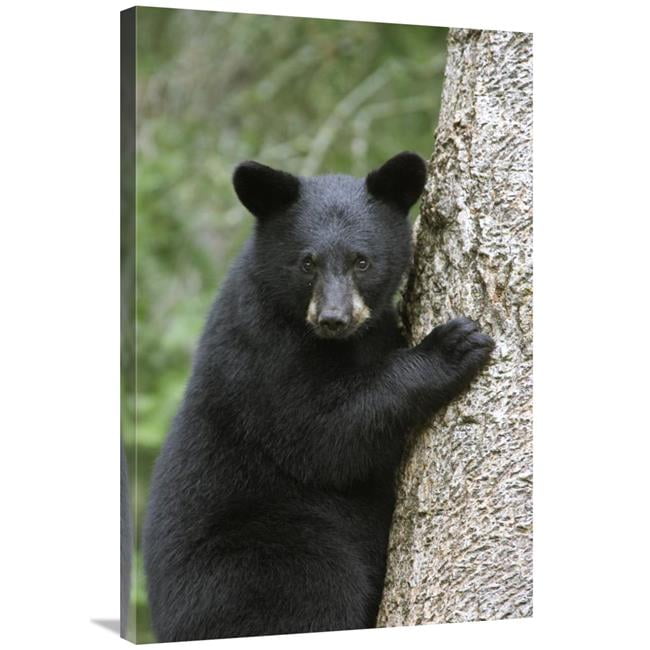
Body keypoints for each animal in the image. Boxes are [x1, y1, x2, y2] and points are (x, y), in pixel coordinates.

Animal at [143, 151, 494, 642]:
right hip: (267, 554)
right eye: (307, 262)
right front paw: (453, 345)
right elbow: (322, 435)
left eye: (362, 261)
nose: (333, 318)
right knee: (315, 591)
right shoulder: (263, 353)